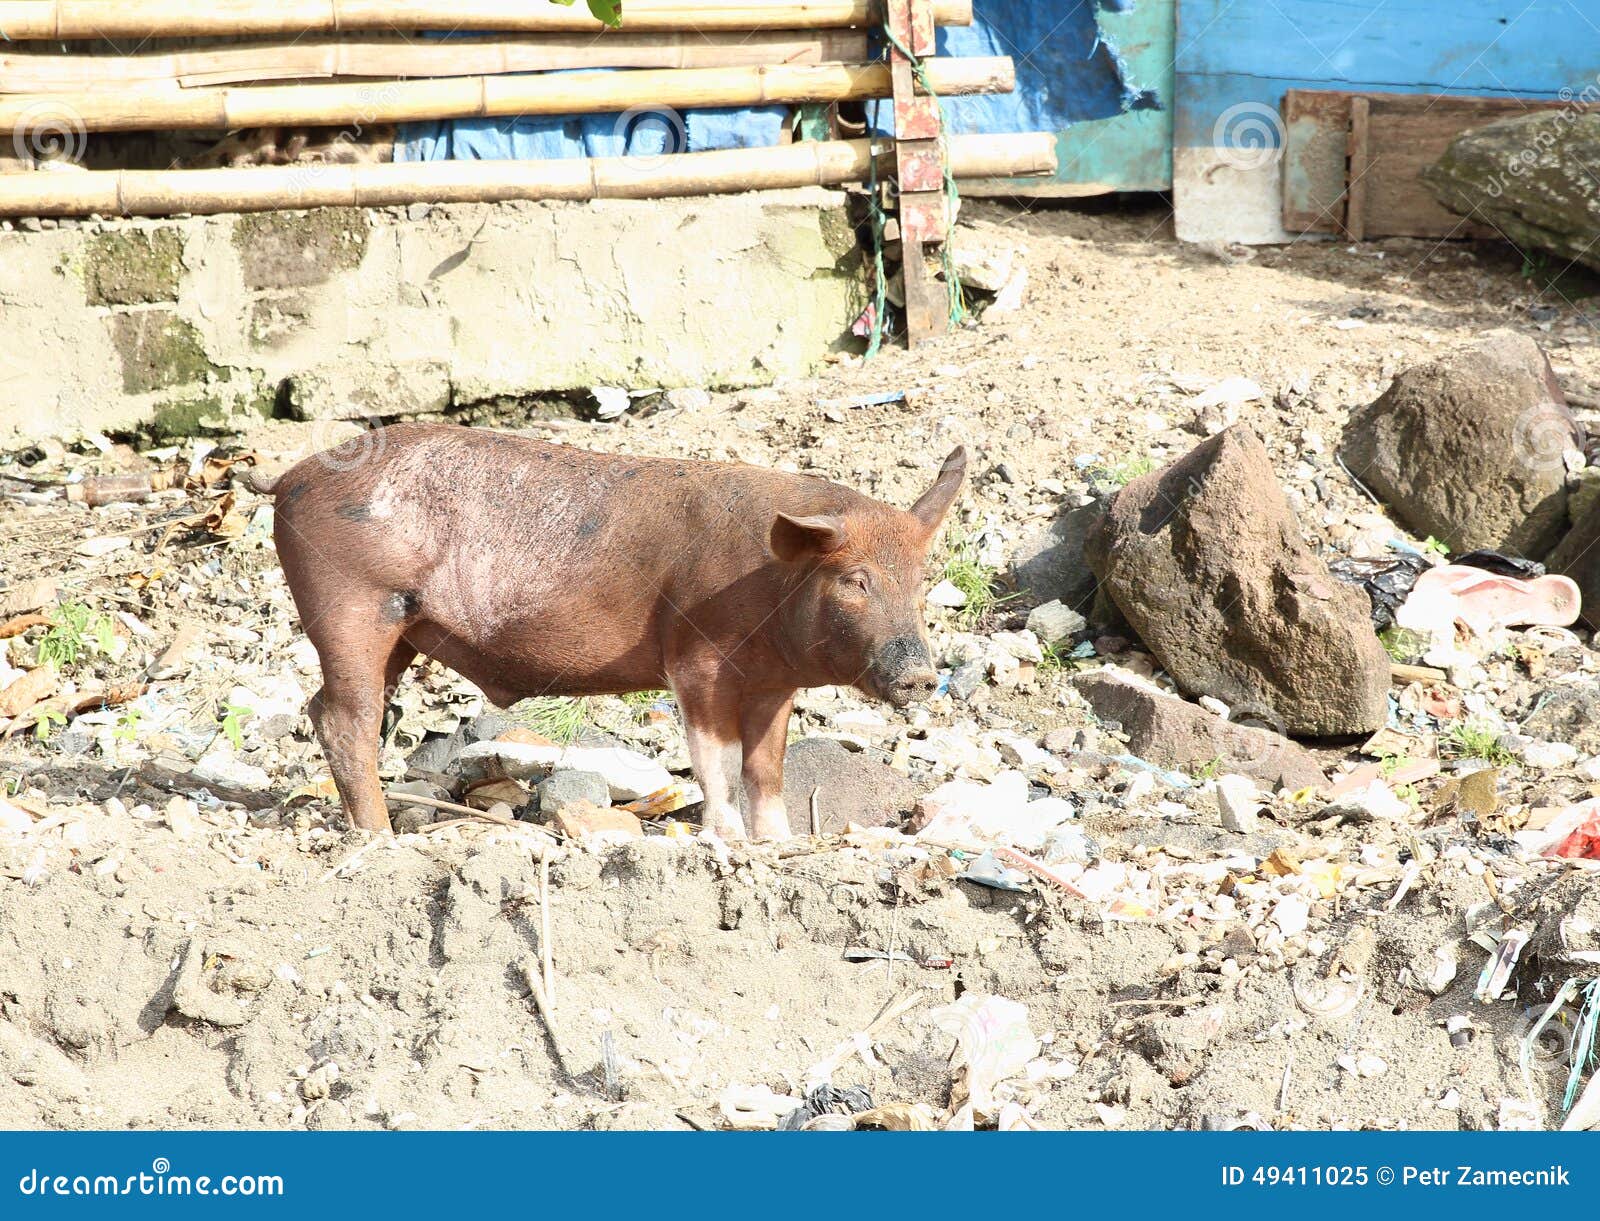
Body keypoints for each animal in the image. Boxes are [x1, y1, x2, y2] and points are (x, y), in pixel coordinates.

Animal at [251, 423, 966, 839]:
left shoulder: (774, 686)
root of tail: (289, 477)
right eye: (855, 581)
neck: (769, 584)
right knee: (345, 717)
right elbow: (715, 758)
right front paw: (728, 842)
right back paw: (380, 839)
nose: (922, 675)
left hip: (400, 630)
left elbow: (767, 767)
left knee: (327, 709)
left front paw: (780, 845)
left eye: (919, 583)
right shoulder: (695, 656)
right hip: (351, 607)